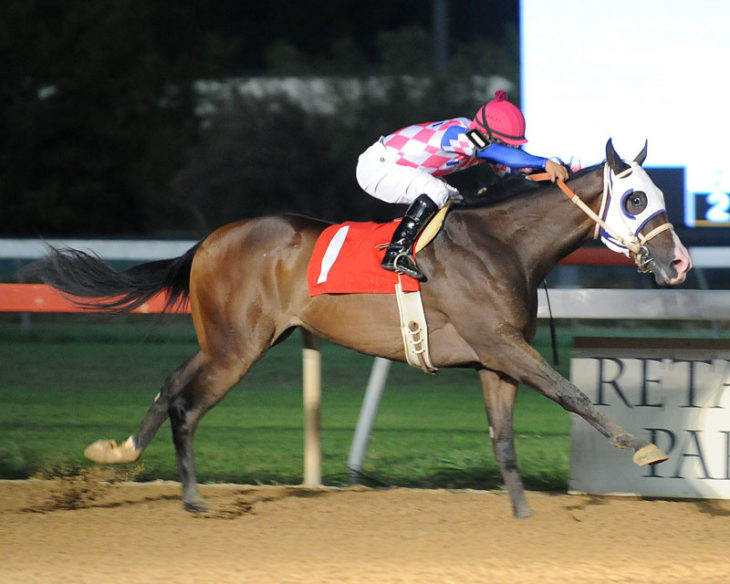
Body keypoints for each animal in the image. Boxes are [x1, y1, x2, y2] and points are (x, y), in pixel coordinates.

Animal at [23, 139, 692, 519]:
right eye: (635, 199)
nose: (681, 263)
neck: (503, 243)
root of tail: (208, 242)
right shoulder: (502, 343)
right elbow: (571, 393)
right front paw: (642, 446)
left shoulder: (493, 358)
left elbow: (503, 438)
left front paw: (524, 514)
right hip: (237, 348)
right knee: (188, 404)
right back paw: (191, 498)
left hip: (235, 339)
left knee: (169, 383)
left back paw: (119, 450)